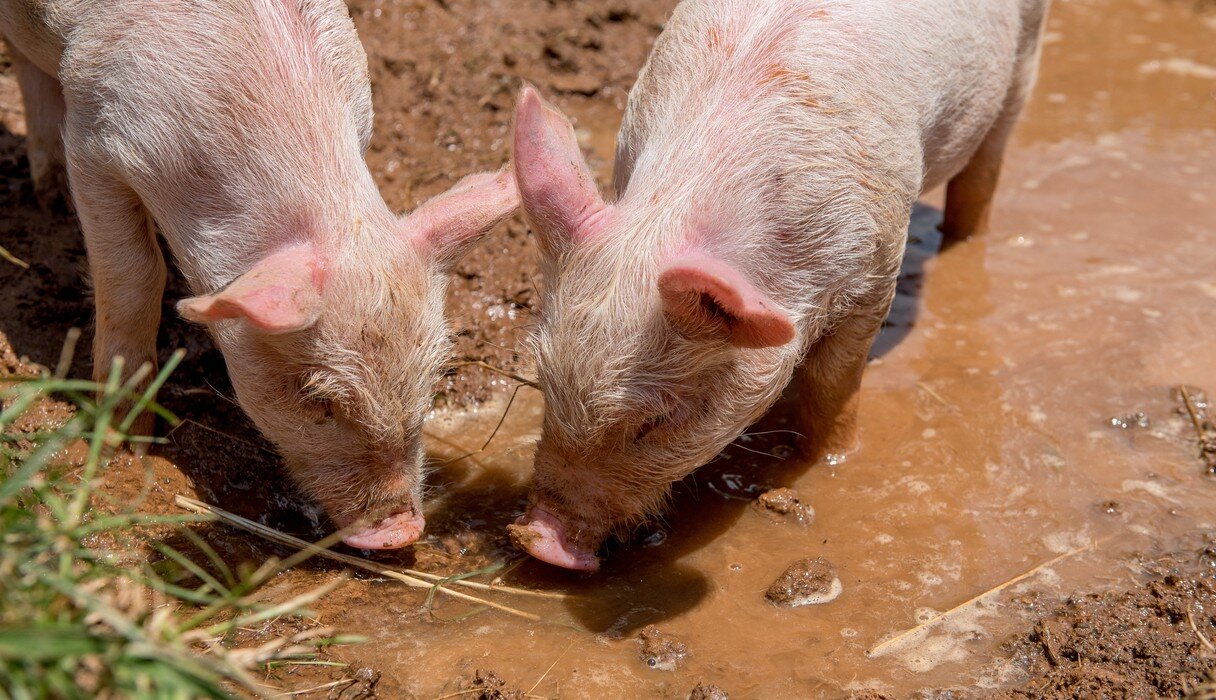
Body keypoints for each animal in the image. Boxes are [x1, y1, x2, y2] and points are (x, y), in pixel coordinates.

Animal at [1, 0, 518, 548]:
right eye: (317, 397)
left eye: (435, 379)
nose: (401, 531)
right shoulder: (97, 135)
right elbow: (135, 274)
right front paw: (127, 435)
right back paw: (52, 197)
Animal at [509, 0, 1049, 569]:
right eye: (543, 382)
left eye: (655, 421)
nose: (541, 540)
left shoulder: (878, 258)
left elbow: (832, 383)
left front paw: (833, 458)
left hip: (1026, 52)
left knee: (987, 166)